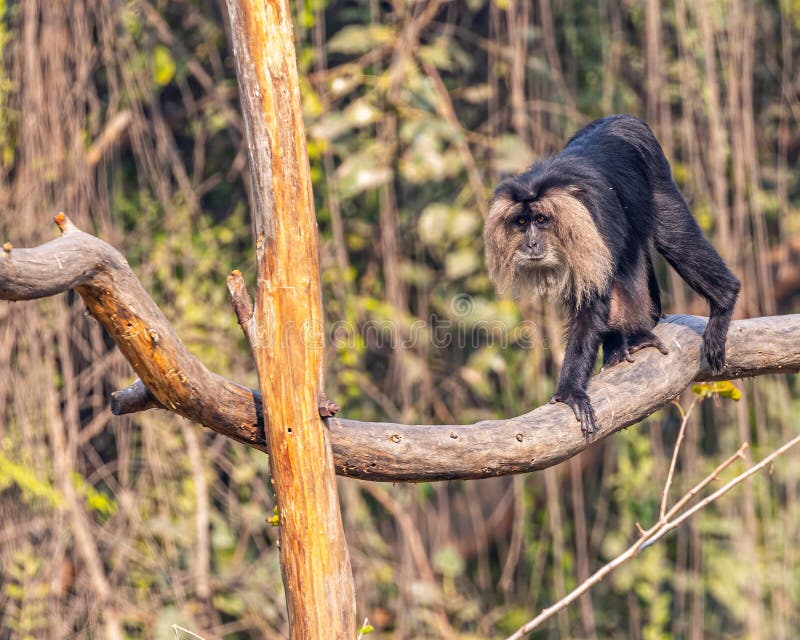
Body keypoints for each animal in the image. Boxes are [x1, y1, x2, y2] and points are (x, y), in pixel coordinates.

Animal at [484, 114, 740, 436]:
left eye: (540, 220)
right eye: (521, 222)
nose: (530, 243)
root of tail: (621, 119)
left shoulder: (596, 218)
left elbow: (593, 303)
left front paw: (571, 391)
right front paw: (612, 351)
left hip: (656, 172)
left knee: (671, 236)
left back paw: (721, 300)